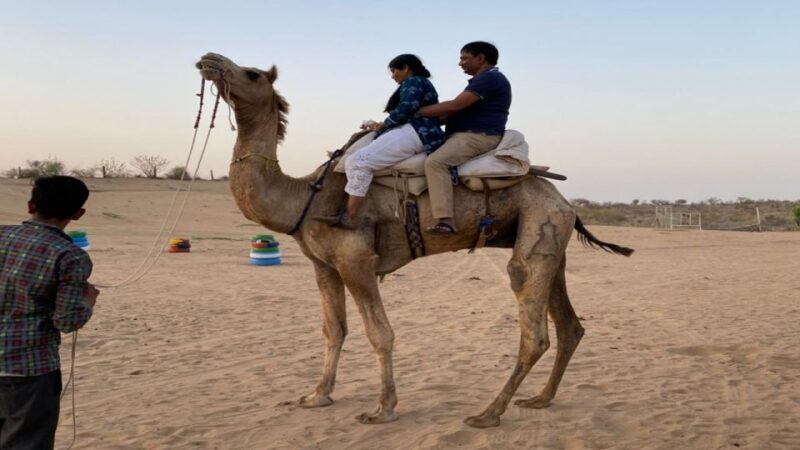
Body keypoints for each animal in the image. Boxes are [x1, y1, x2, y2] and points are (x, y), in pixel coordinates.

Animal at [196, 53, 633, 428]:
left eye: (252, 73)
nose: (208, 59)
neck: (306, 196)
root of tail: (565, 201)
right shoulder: (323, 266)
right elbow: (333, 329)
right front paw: (317, 395)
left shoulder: (356, 260)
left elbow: (380, 333)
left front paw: (383, 409)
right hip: (552, 245)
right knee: (569, 326)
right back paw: (540, 399)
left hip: (538, 232)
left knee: (533, 329)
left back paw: (487, 414)